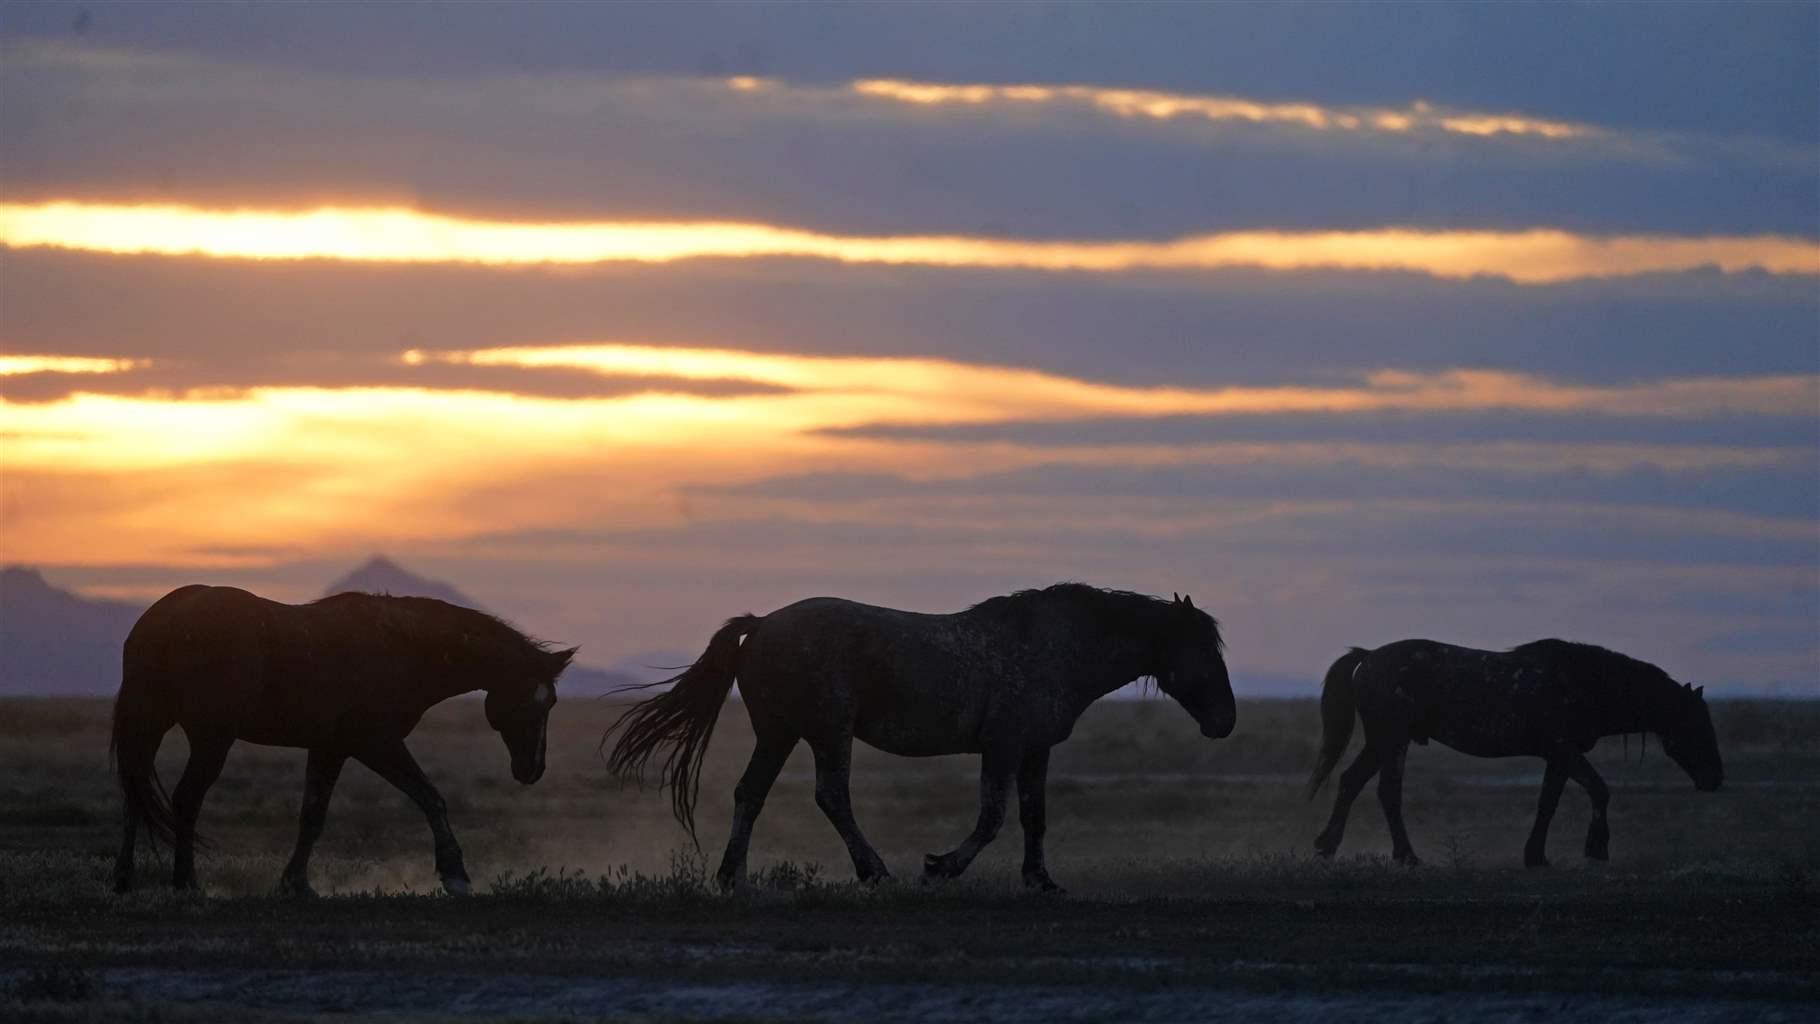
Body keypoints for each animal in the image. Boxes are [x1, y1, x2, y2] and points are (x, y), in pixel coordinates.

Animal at [108, 585, 575, 898]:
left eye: (550, 702)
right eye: (532, 703)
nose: (532, 769)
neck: (397, 650)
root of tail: (156, 622)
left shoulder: (330, 749)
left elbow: (313, 816)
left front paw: (296, 884)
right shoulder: (376, 744)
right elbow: (431, 797)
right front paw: (455, 873)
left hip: (152, 724)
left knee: (134, 794)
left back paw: (124, 879)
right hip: (210, 737)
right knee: (185, 798)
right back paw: (186, 882)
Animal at [604, 589, 1230, 894]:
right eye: (1201, 648)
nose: (1225, 720)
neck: (1053, 646)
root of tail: (760, 625)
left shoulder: (1035, 751)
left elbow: (1034, 817)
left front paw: (1041, 880)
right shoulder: (1003, 748)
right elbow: (991, 819)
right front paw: (940, 867)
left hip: (779, 734)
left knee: (749, 795)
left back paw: (730, 877)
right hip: (827, 734)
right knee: (832, 797)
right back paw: (874, 871)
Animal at [1310, 640, 1718, 865]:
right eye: (1697, 723)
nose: (1716, 777)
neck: (1585, 682)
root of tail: (1367, 658)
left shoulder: (1558, 757)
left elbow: (1548, 803)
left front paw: (1536, 856)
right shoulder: (1564, 750)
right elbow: (1599, 790)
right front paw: (1596, 847)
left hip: (1387, 742)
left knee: (1358, 784)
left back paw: (1330, 847)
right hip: (1391, 740)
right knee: (1382, 792)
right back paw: (1404, 855)